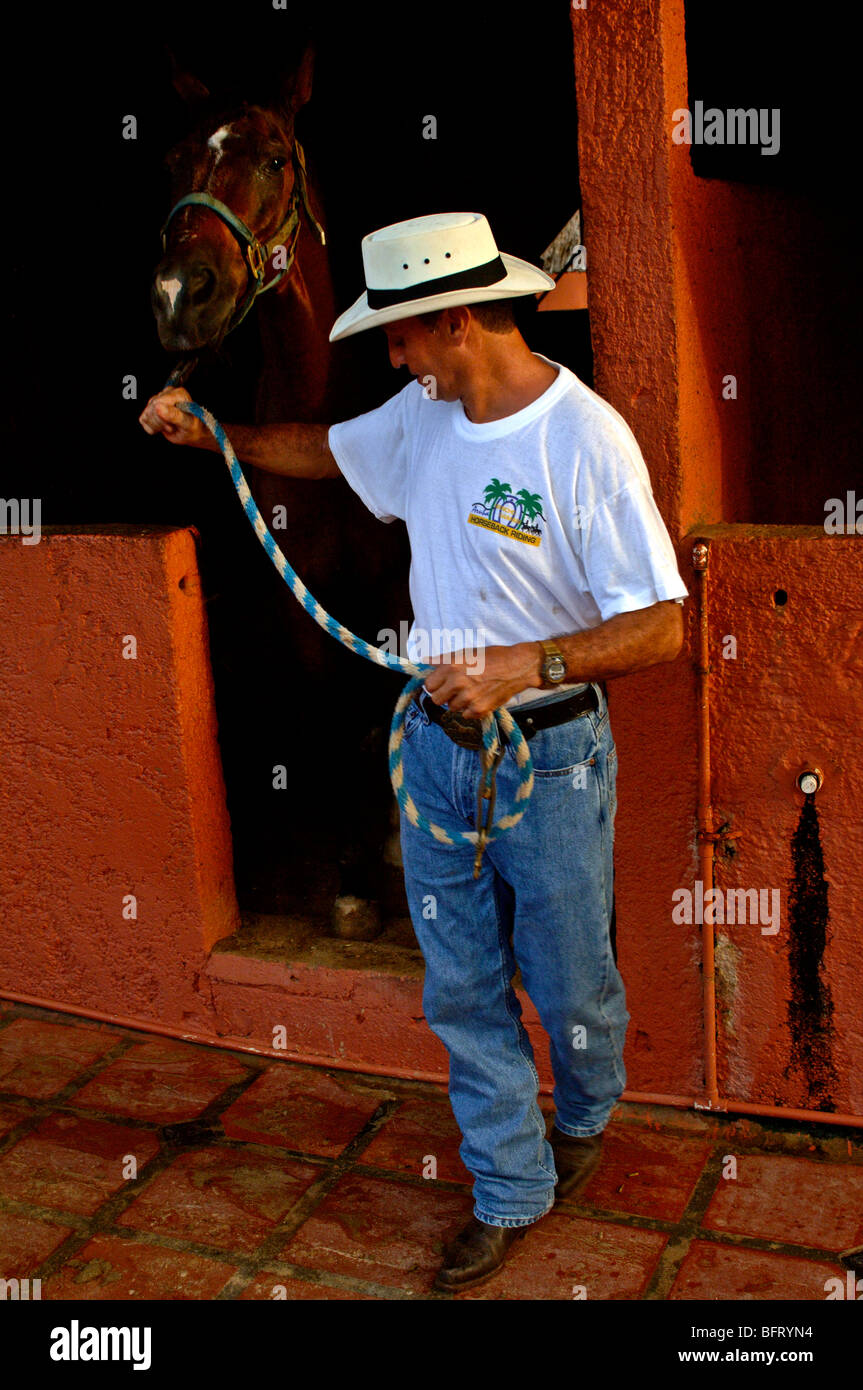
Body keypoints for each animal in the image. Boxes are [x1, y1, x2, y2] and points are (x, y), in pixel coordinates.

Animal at [151, 48, 409, 940]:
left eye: (272, 159)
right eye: (175, 159)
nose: (177, 295)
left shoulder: (397, 594)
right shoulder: (300, 599)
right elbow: (327, 721)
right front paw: (352, 884)